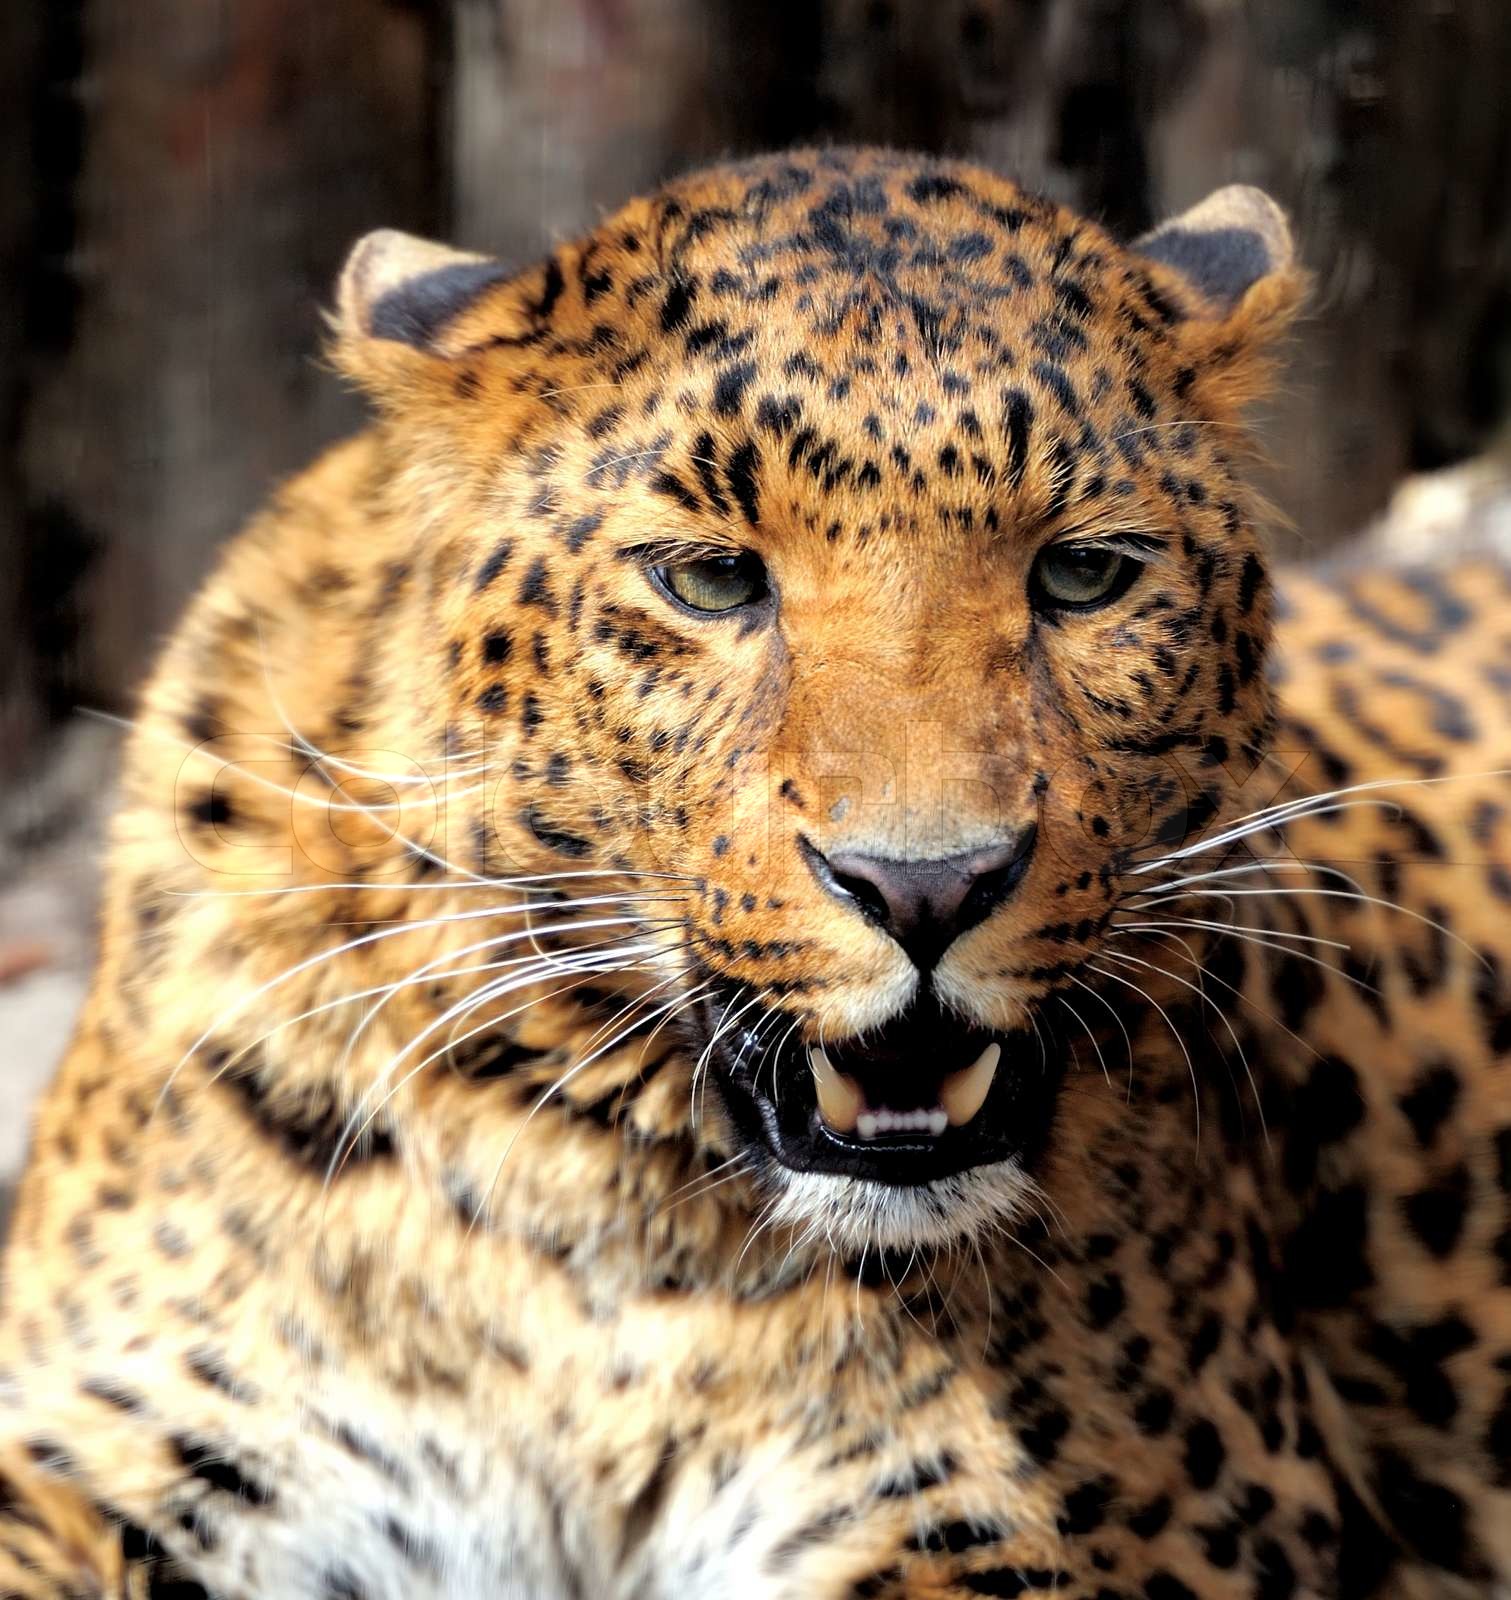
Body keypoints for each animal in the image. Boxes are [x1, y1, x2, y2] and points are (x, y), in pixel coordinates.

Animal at [1, 145, 1509, 1599]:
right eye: (710, 581)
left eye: (1083, 576)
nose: (925, 888)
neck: (611, 1236)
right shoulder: (90, 1445)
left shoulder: (1136, 1521)